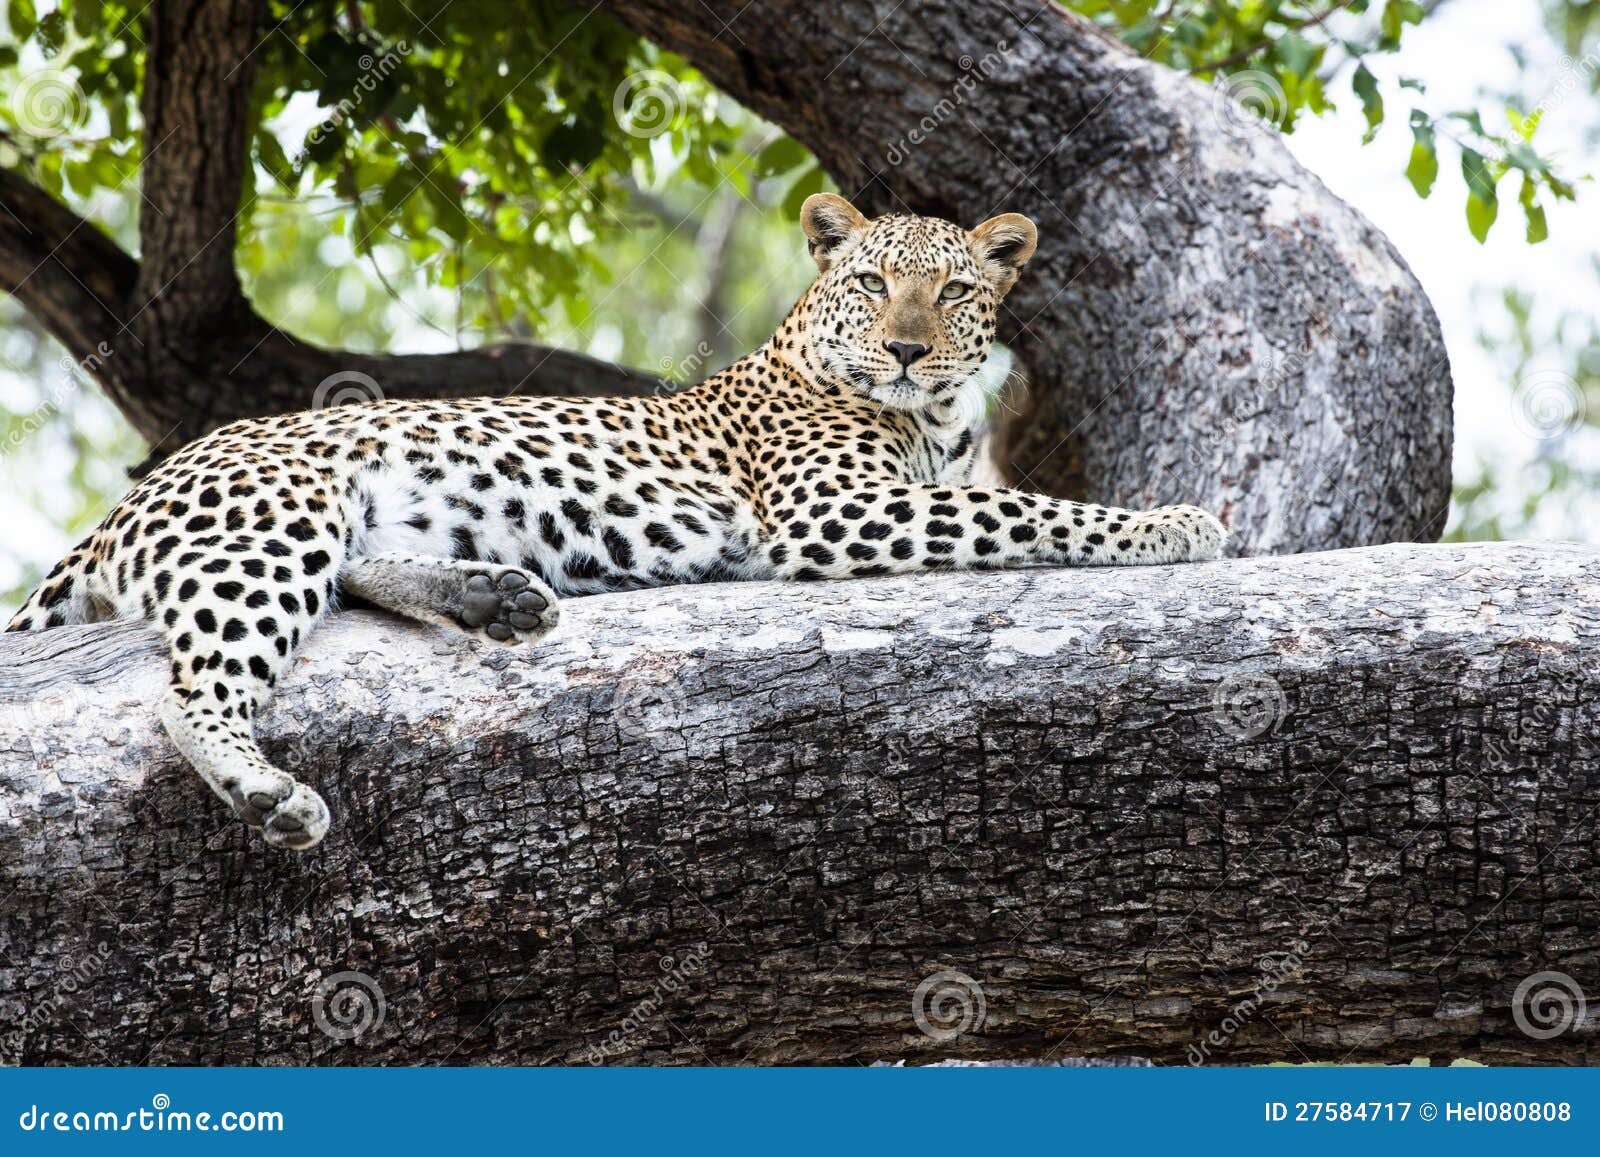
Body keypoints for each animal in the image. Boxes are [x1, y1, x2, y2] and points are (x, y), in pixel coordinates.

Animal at [7, 193, 1226, 852]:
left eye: (957, 292)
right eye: (874, 284)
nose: (907, 348)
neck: (936, 413)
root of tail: (133, 493)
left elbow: (1000, 495)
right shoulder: (833, 509)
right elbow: (1017, 506)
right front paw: (1176, 524)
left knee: (351, 576)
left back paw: (492, 597)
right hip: (271, 527)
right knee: (190, 688)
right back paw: (267, 788)